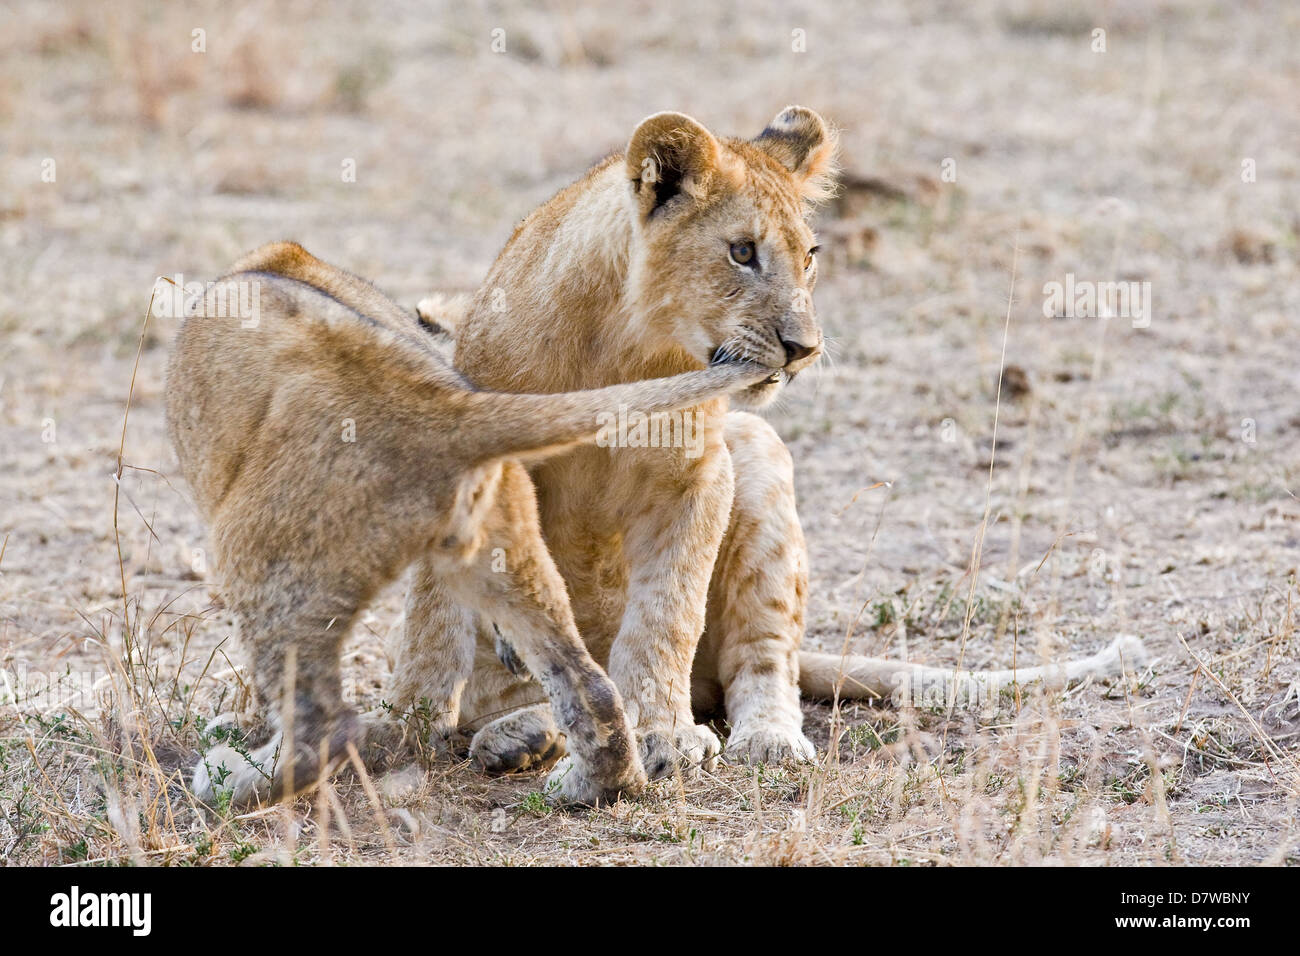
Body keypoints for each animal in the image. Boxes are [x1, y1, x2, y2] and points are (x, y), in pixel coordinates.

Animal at [164, 241, 771, 807]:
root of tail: (444, 410)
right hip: (506, 552)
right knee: (591, 686)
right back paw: (590, 783)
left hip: (253, 545)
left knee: (323, 728)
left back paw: (233, 780)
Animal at [391, 108, 1145, 781]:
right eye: (742, 252)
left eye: (809, 257)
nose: (804, 348)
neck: (627, 352)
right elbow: (436, 621)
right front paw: (406, 722)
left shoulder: (699, 477)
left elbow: (667, 612)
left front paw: (661, 734)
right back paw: (518, 731)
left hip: (755, 457)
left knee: (760, 661)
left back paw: (755, 738)